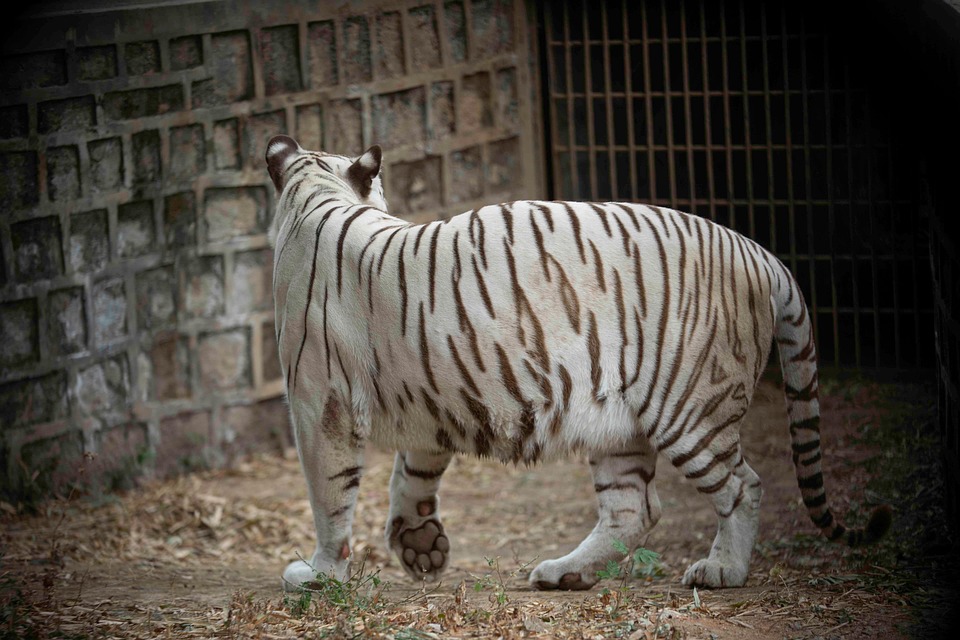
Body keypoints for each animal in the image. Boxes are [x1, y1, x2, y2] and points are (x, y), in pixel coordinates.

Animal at [265, 134, 891, 592]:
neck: (316, 196)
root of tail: (762, 254)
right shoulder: (429, 392)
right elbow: (410, 475)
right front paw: (421, 546)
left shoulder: (319, 405)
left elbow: (329, 497)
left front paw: (319, 573)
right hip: (619, 423)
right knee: (634, 508)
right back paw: (565, 573)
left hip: (690, 410)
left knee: (744, 486)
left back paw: (722, 571)